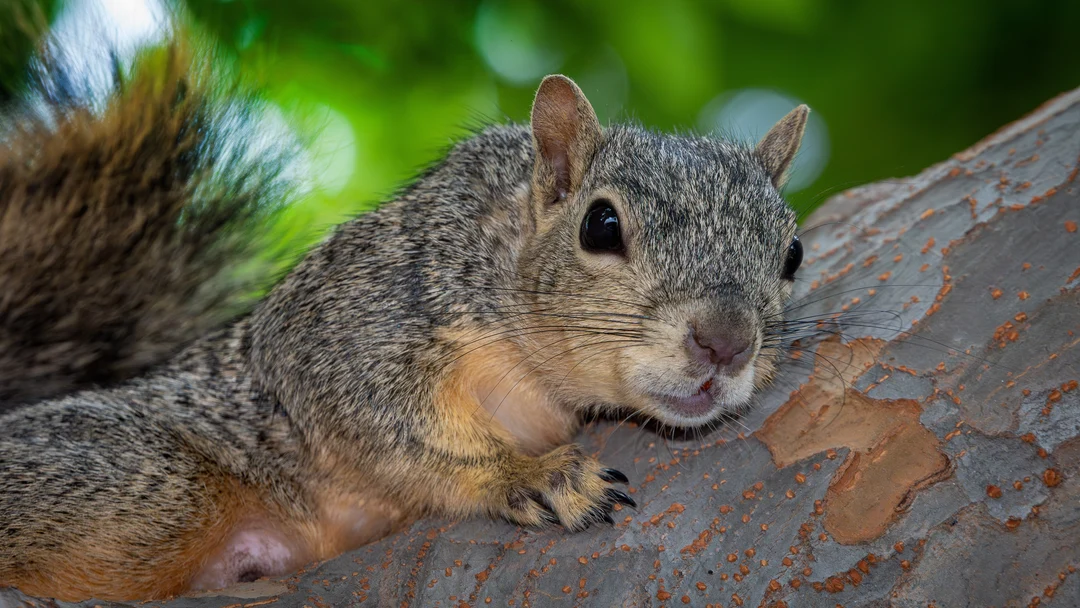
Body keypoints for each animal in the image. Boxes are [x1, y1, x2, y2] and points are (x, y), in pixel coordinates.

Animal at [0, 26, 809, 603]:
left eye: (792, 253)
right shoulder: (346, 328)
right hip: (143, 481)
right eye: (601, 226)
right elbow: (398, 431)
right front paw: (529, 475)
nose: (726, 343)